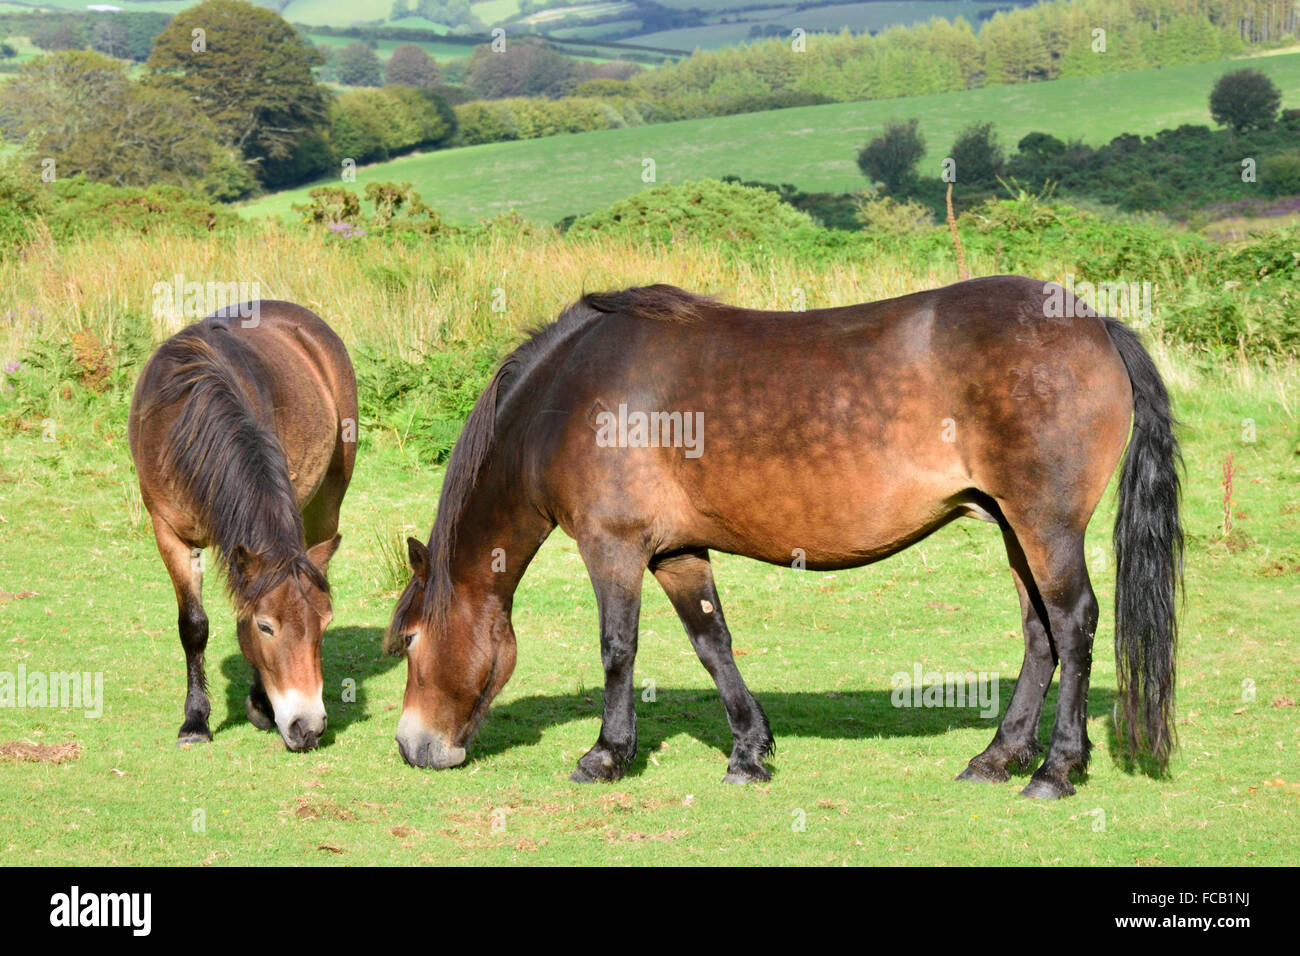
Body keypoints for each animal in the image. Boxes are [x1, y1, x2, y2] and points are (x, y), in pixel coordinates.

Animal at [129, 302, 357, 752]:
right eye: (266, 627)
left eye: (324, 624)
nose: (309, 727)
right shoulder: (168, 533)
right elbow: (193, 625)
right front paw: (195, 721)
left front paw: (260, 705)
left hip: (327, 500)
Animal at [386, 275, 1182, 799]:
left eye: (413, 645)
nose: (413, 747)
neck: (571, 396)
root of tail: (1095, 323)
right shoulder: (676, 553)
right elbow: (713, 643)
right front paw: (749, 751)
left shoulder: (613, 547)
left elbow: (618, 650)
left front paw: (607, 755)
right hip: (1015, 528)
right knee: (1040, 633)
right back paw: (997, 758)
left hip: (1046, 526)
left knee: (1073, 624)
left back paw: (1056, 769)